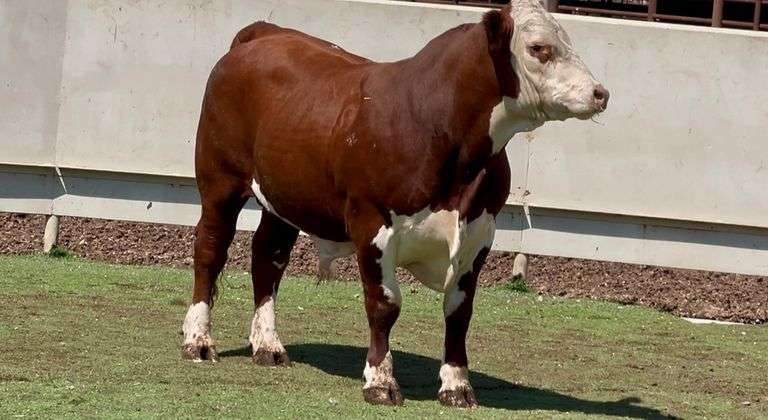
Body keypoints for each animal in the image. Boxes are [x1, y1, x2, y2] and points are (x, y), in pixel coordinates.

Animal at [182, 0, 608, 408]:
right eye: (539, 48)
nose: (600, 93)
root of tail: (264, 33)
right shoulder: (373, 223)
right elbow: (385, 304)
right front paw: (380, 381)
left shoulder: (480, 234)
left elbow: (459, 312)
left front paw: (457, 385)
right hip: (219, 181)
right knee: (210, 251)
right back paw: (199, 340)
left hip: (284, 198)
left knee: (267, 258)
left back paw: (268, 344)